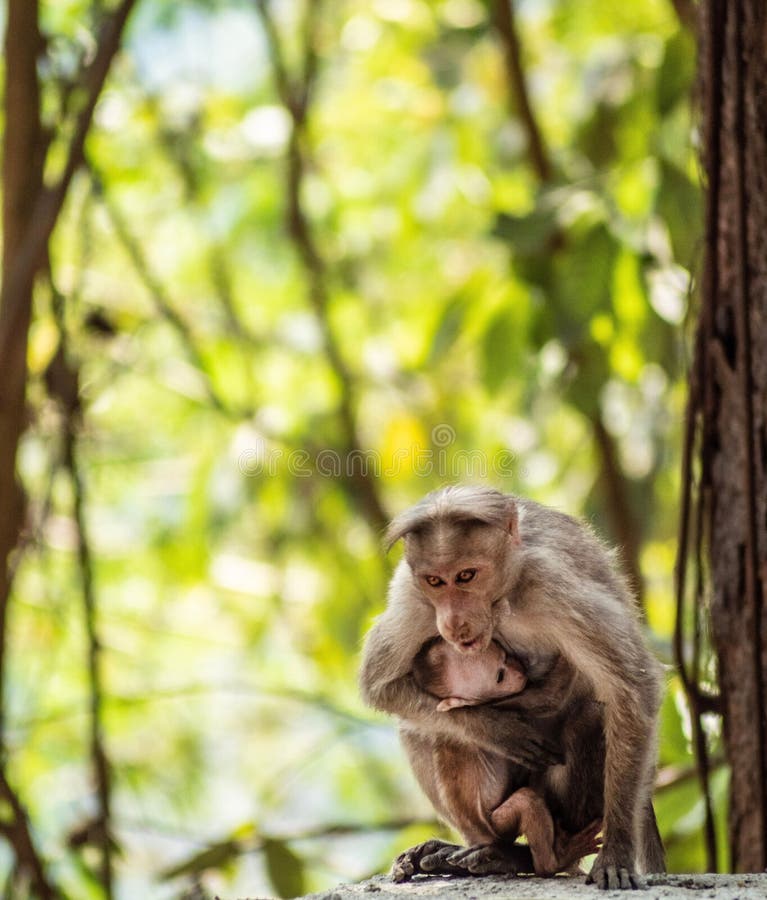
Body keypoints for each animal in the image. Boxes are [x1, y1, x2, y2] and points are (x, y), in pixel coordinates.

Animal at [359, 486, 666, 890]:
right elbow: (379, 684)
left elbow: (632, 687)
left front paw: (616, 851)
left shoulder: (550, 584)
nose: (453, 620)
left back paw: (534, 855)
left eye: (466, 575)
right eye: (435, 581)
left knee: (589, 716)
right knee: (418, 728)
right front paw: (497, 729)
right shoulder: (413, 596)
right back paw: (488, 850)